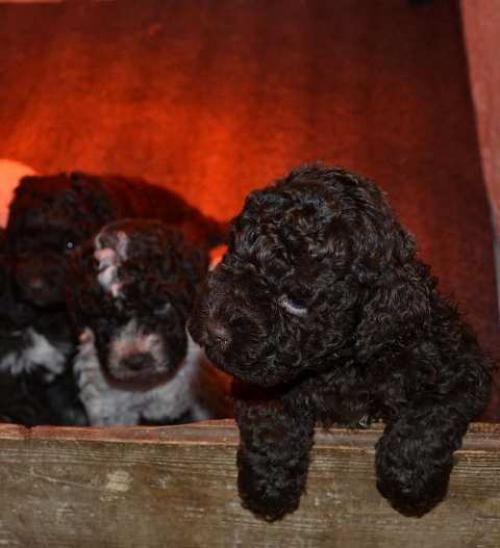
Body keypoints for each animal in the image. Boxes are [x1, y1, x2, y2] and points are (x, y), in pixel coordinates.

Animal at [190, 166, 492, 524]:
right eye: (232, 259)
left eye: (296, 301)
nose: (214, 330)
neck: (340, 367)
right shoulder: (257, 379)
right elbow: (269, 413)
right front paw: (269, 483)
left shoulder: (458, 365)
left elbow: (429, 413)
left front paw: (409, 477)